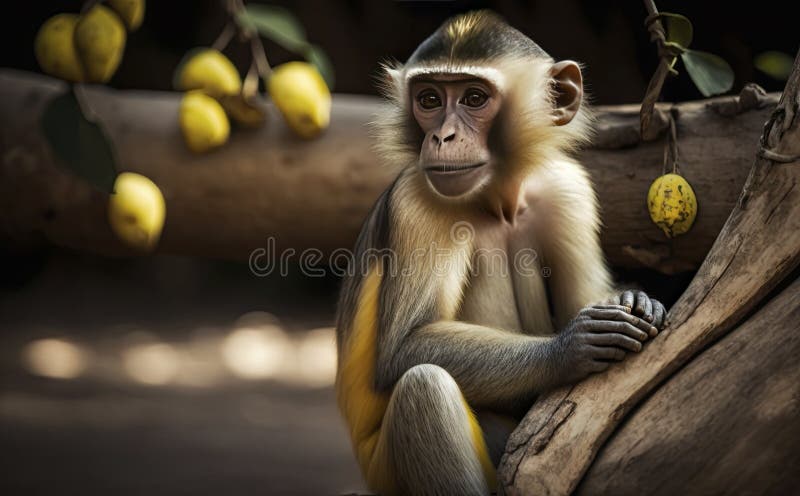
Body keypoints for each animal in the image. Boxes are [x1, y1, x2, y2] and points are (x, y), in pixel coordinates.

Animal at [335, 11, 667, 496]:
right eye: (429, 99)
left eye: (474, 98)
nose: (442, 136)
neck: (498, 200)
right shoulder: (419, 200)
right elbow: (404, 347)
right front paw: (570, 346)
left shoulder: (568, 187)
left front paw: (634, 299)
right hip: (386, 474)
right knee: (423, 388)